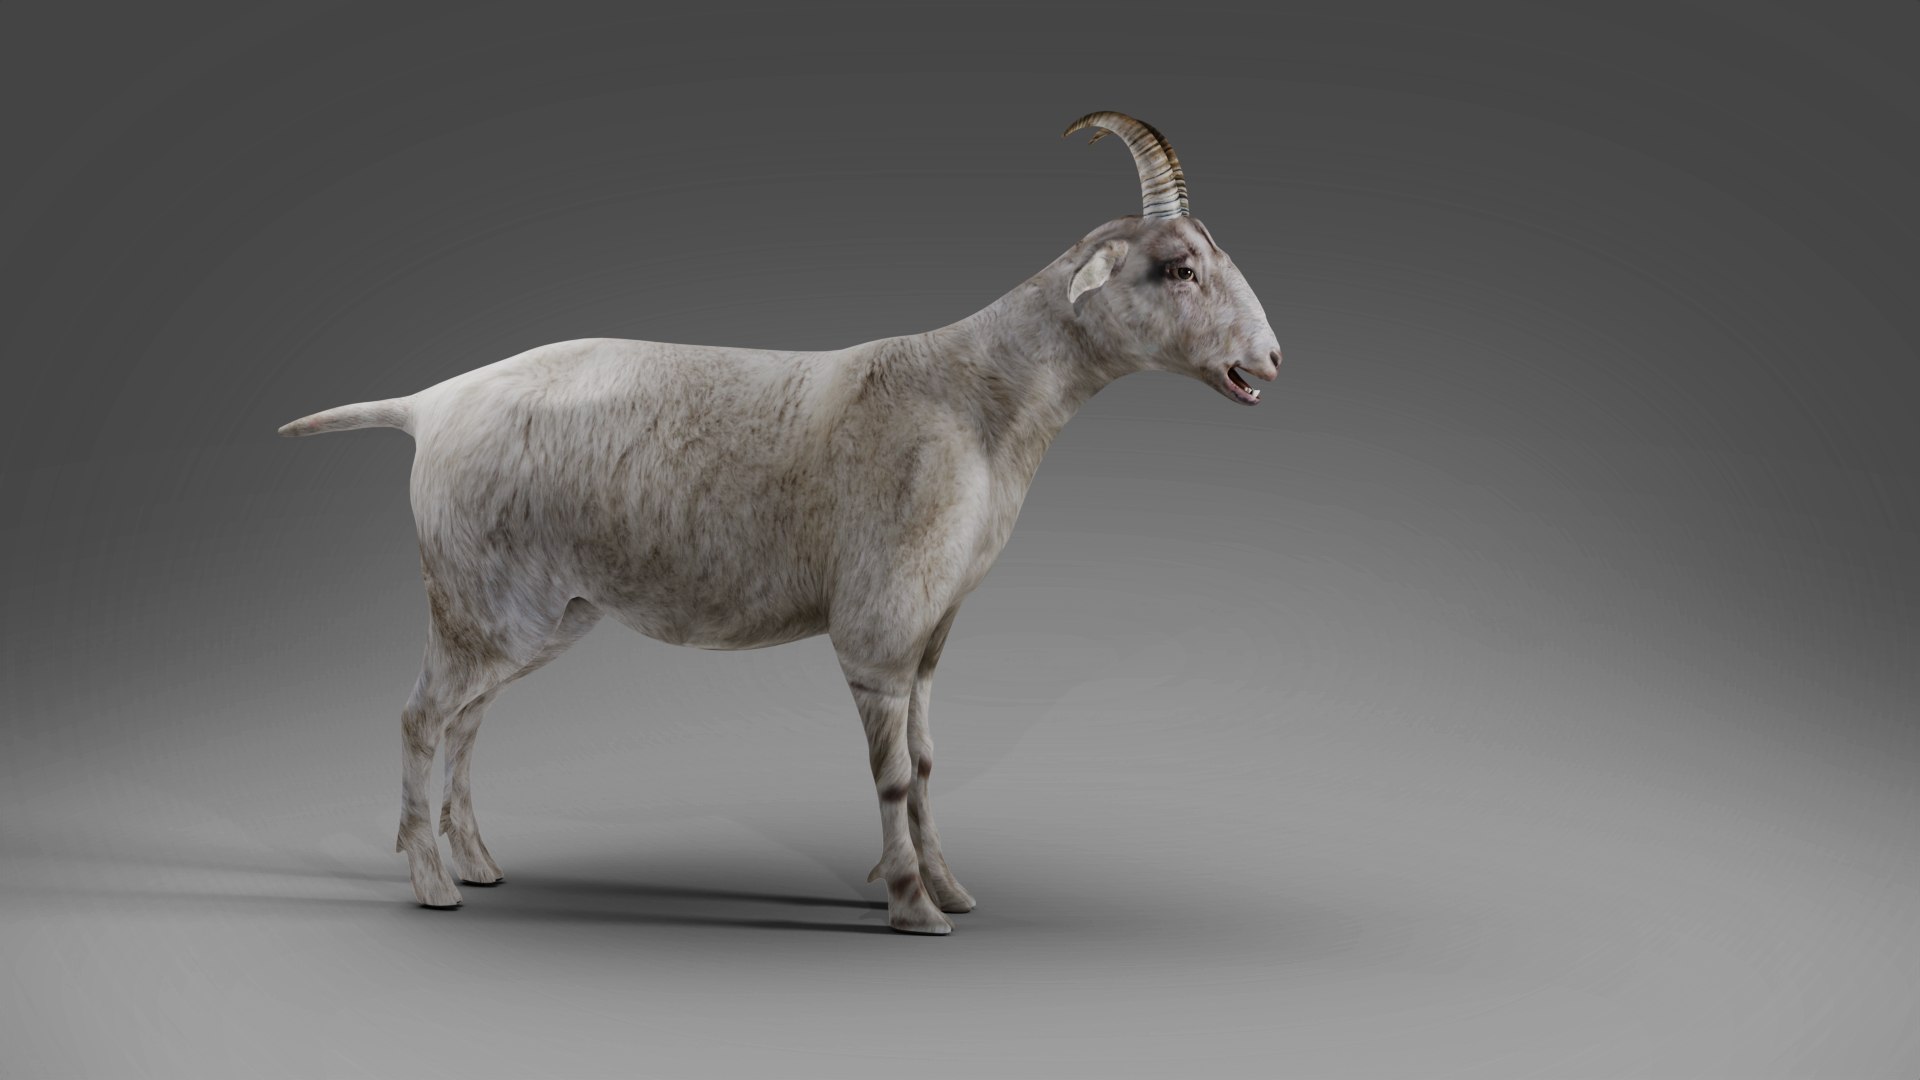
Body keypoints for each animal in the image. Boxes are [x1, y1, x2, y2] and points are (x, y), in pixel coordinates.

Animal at [280, 112, 1283, 934]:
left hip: (537, 615)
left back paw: (479, 864)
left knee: (467, 721)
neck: (976, 396)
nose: (1269, 359)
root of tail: (430, 402)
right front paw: (914, 908)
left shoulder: (931, 633)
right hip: (477, 599)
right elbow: (891, 772)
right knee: (421, 717)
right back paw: (432, 885)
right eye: (1178, 267)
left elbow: (926, 764)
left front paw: (949, 887)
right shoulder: (879, 628)